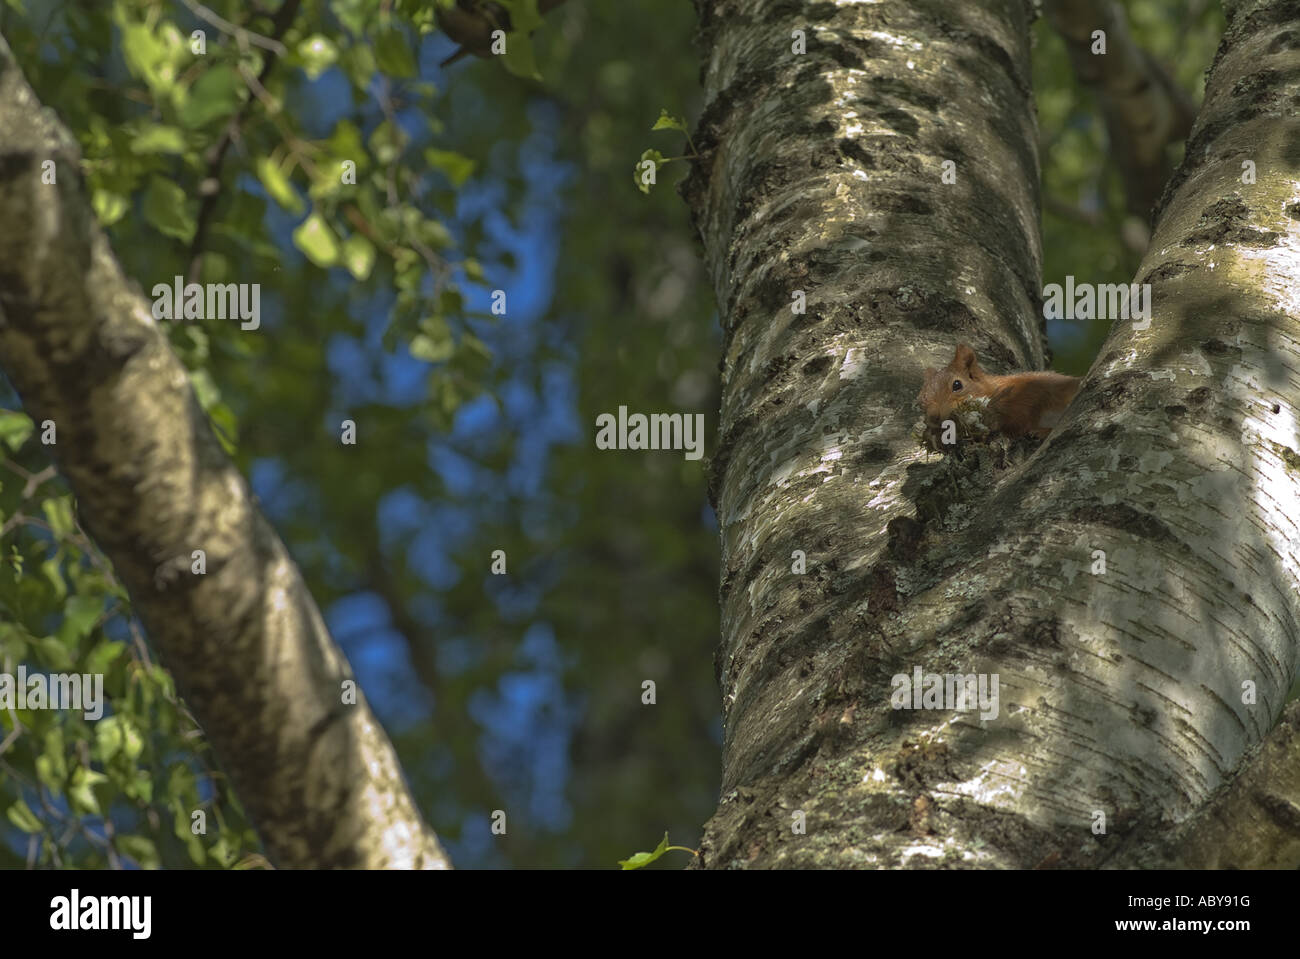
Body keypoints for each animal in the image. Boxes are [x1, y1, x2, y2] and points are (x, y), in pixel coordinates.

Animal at [916, 343, 1081, 447]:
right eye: (921, 398)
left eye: (957, 385)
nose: (933, 417)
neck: (992, 391)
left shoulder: (1027, 393)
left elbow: (1021, 416)